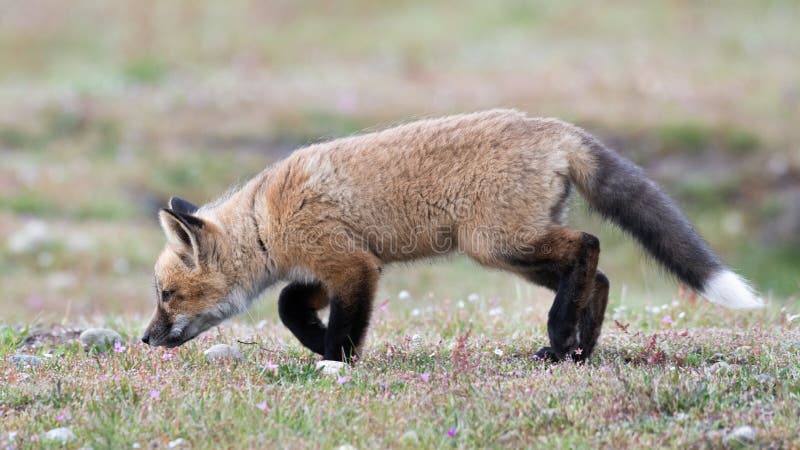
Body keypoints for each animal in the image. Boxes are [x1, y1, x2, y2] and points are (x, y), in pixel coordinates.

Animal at [141, 109, 762, 366]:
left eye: (166, 295)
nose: (145, 339)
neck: (266, 222)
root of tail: (557, 129)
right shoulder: (336, 266)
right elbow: (291, 304)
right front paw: (319, 343)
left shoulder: (353, 267)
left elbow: (328, 320)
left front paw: (336, 357)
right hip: (514, 250)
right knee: (599, 275)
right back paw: (579, 348)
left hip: (496, 244)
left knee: (588, 244)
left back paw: (559, 336)